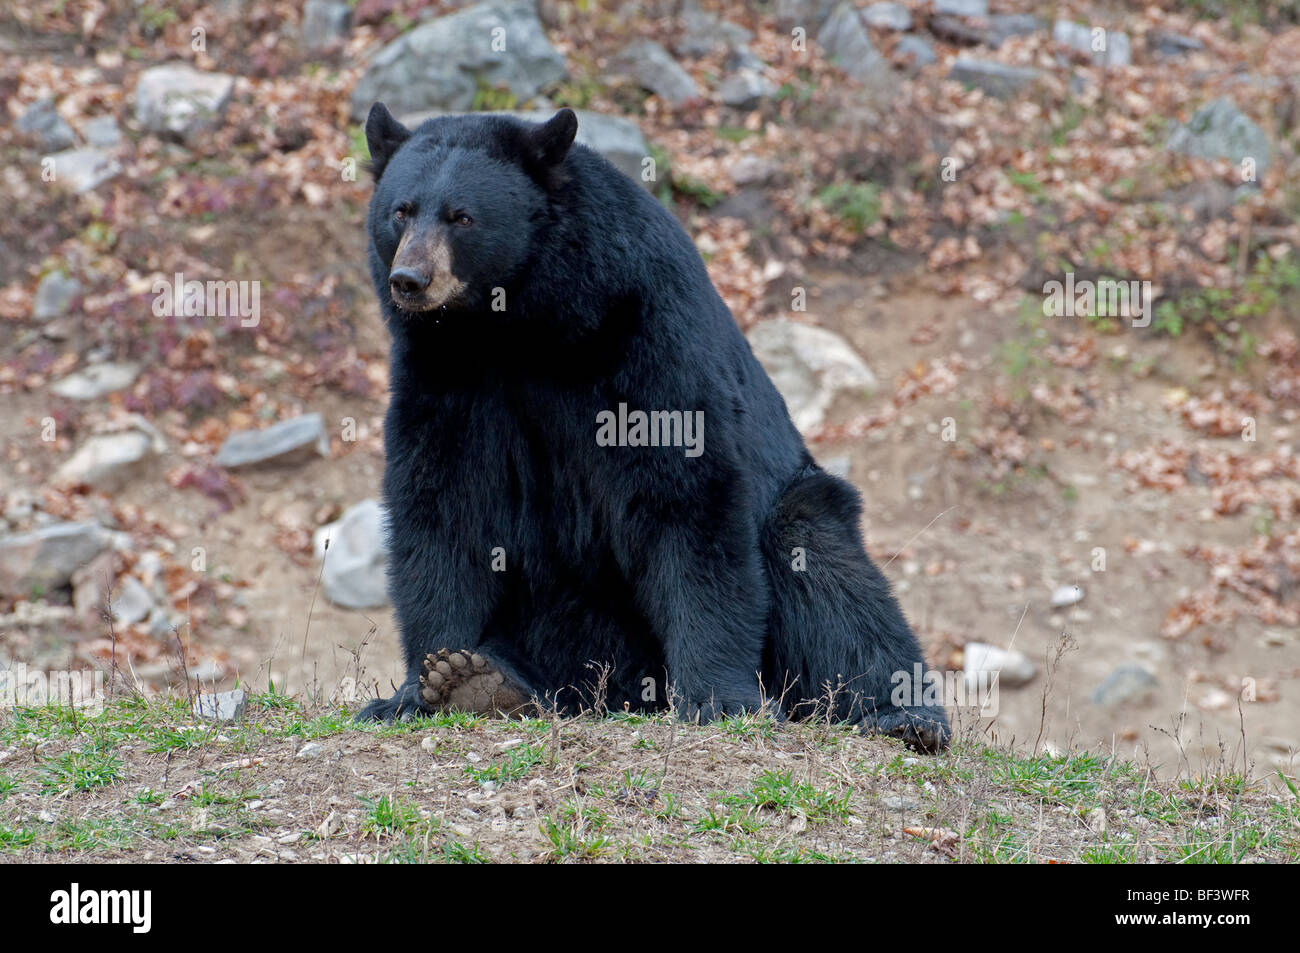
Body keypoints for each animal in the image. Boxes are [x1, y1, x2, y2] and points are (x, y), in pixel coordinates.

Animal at [356, 104, 950, 752]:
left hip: (799, 503)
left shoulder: (642, 327)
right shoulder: (443, 374)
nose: (410, 280)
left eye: (462, 217)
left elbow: (684, 491)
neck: (519, 324)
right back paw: (496, 683)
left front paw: (718, 698)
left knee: (829, 575)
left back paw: (904, 716)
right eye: (401, 211)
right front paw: (426, 683)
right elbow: (442, 505)